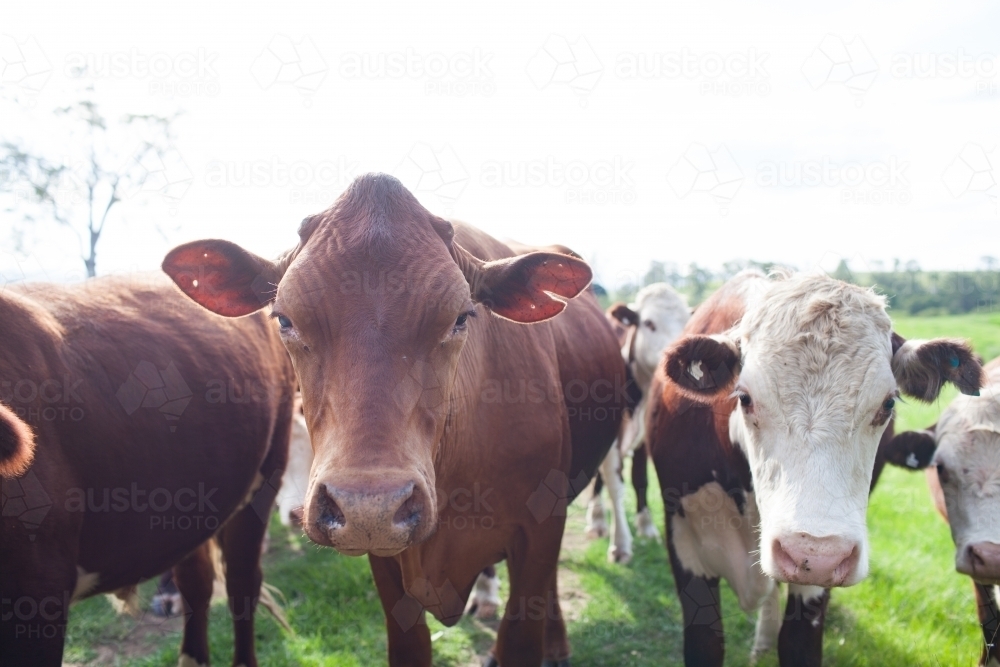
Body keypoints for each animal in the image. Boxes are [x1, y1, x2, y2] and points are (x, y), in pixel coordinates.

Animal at [161, 173, 627, 667]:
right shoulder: (385, 562)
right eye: (283, 319)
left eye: (462, 317)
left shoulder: (540, 528)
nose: (371, 508)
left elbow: (522, 634)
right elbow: (410, 644)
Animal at [585, 283, 691, 563]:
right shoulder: (611, 436)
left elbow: (640, 479)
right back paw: (596, 518)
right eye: (649, 323)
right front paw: (620, 543)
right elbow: (615, 485)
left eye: (686, 323)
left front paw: (646, 526)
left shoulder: (644, 437)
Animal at [647, 269, 985, 666]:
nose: (818, 555)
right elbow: (705, 644)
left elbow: (797, 642)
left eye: (887, 404)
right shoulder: (686, 546)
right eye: (744, 398)